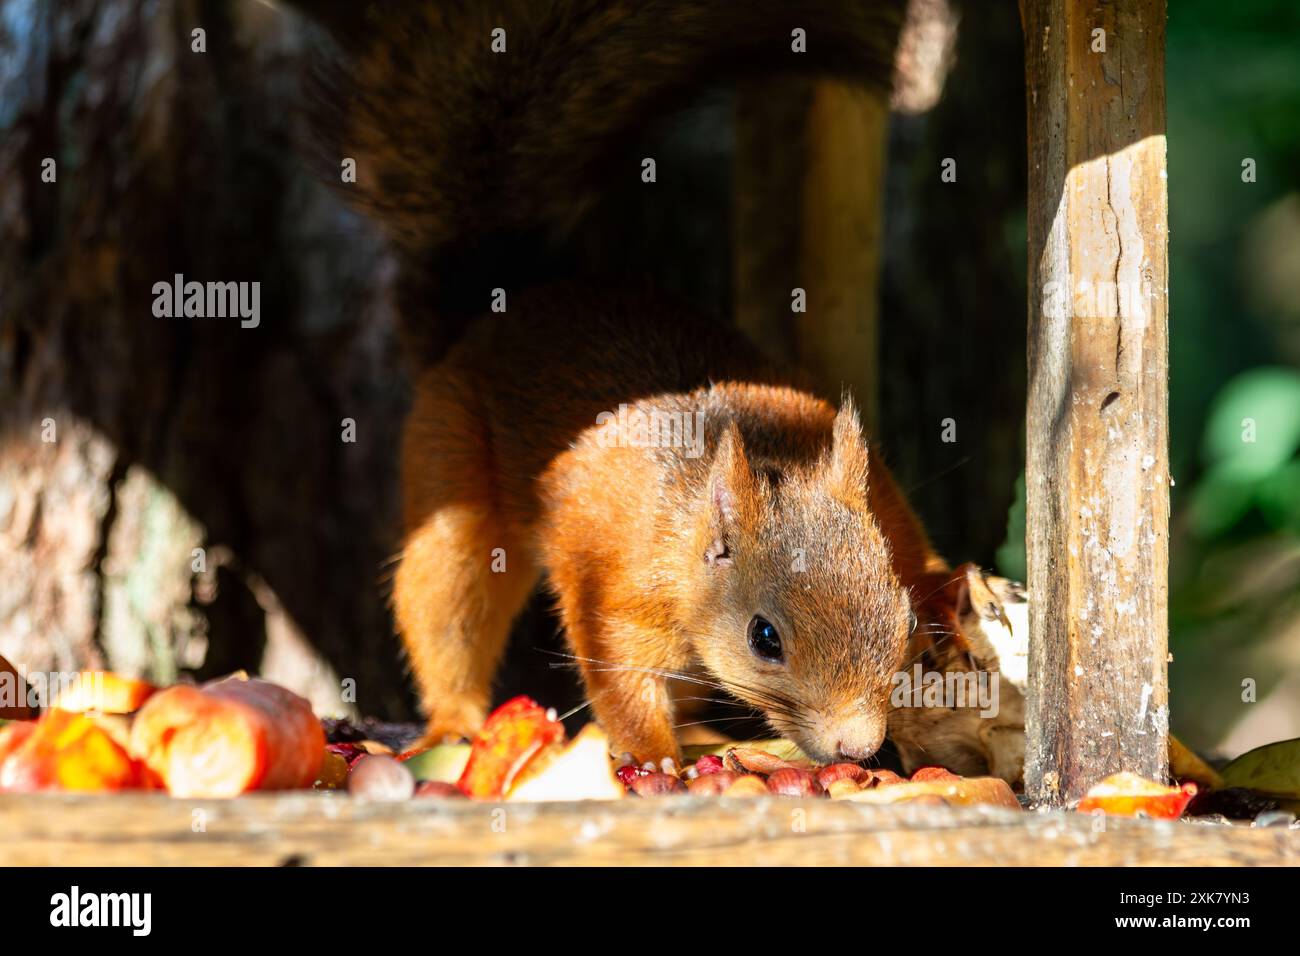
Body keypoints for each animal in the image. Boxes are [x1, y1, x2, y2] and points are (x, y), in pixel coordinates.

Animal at [286, 0, 972, 764]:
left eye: (901, 615)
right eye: (765, 638)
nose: (856, 746)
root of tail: (504, 303)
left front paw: (945, 590)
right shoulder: (611, 580)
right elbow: (617, 670)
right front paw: (653, 758)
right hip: (452, 478)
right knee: (445, 600)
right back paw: (456, 720)